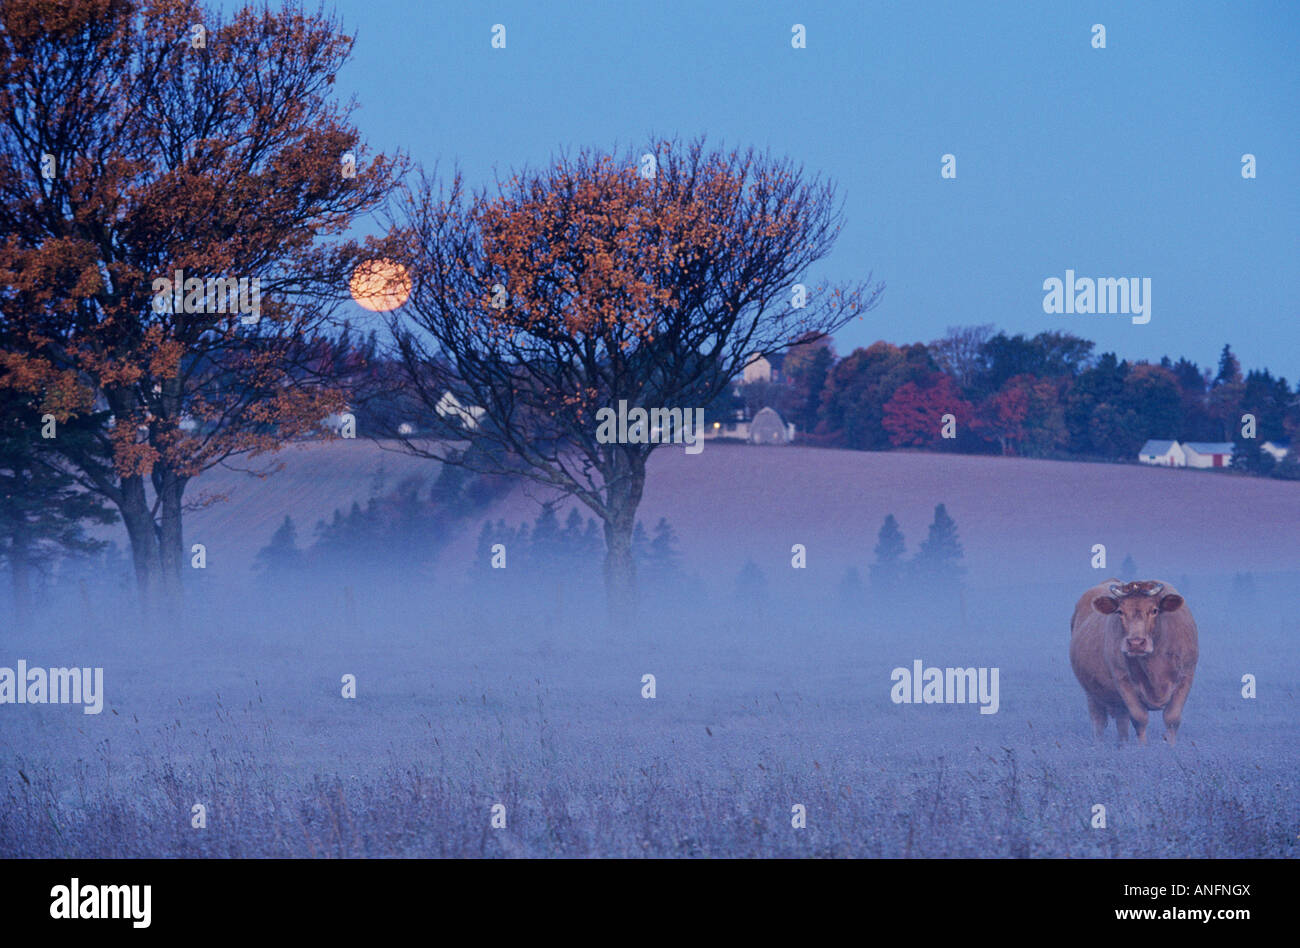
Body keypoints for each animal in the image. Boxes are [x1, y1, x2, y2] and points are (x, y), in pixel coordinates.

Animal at [1069, 579, 1198, 744]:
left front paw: (1171, 747)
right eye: (1120, 611)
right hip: (1092, 694)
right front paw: (1142, 749)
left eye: (1154, 610)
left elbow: (1172, 719)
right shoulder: (1123, 682)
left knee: (1121, 724)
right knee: (1100, 723)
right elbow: (1139, 719)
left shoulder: (1186, 677)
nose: (1136, 643)